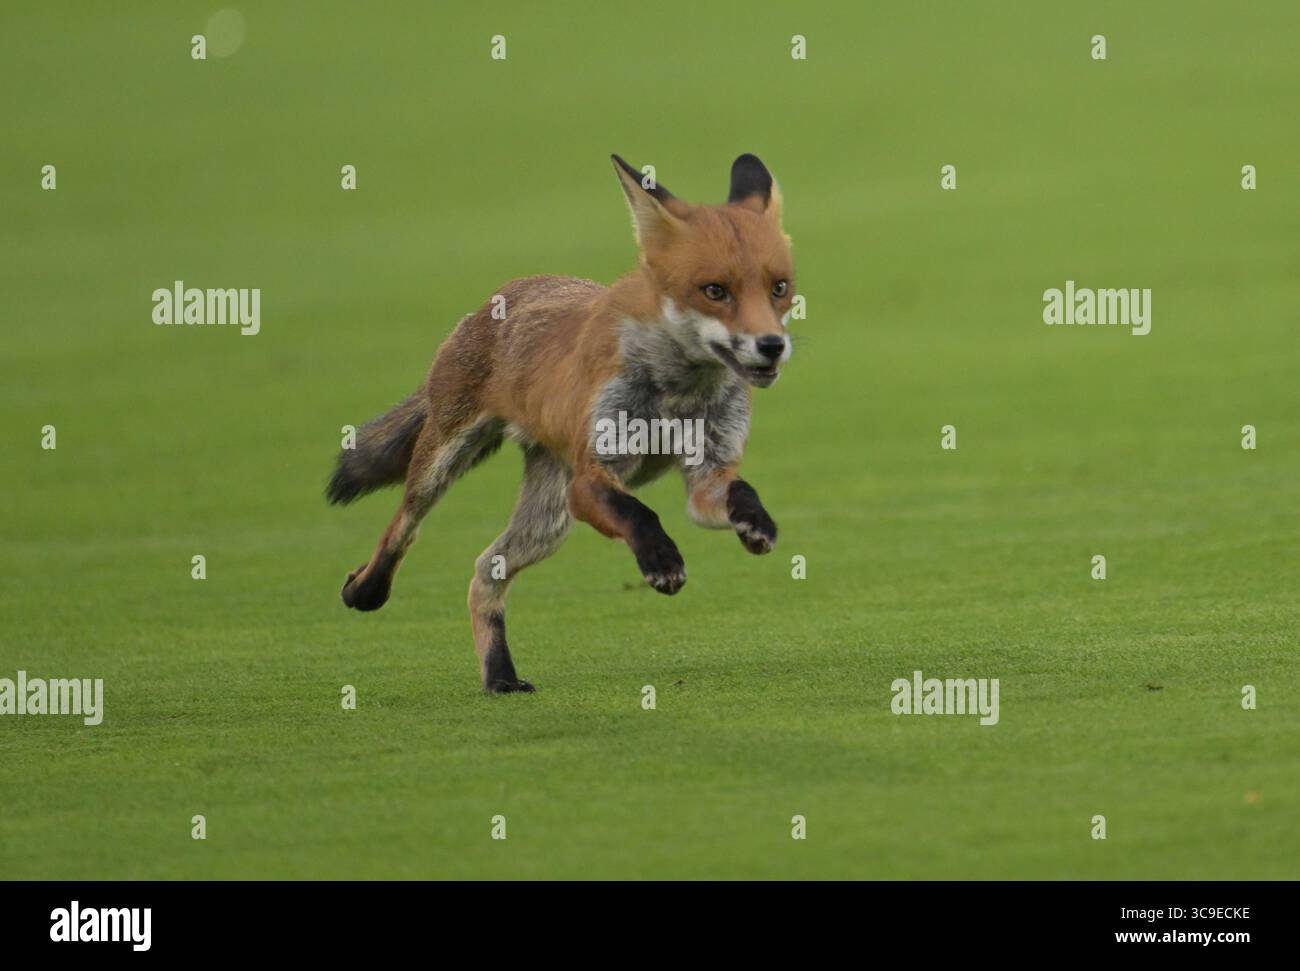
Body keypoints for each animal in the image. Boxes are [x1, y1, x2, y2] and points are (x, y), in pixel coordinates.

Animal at [326, 153, 796, 693]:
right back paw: (366, 589)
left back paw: (500, 678)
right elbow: (640, 513)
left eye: (780, 289)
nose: (771, 345)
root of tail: (513, 288)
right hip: (447, 464)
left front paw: (756, 523)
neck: (678, 394)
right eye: (714, 291)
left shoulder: (708, 475)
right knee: (402, 528)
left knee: (485, 571)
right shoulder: (591, 478)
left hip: (548, 520)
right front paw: (660, 560)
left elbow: (741, 492)